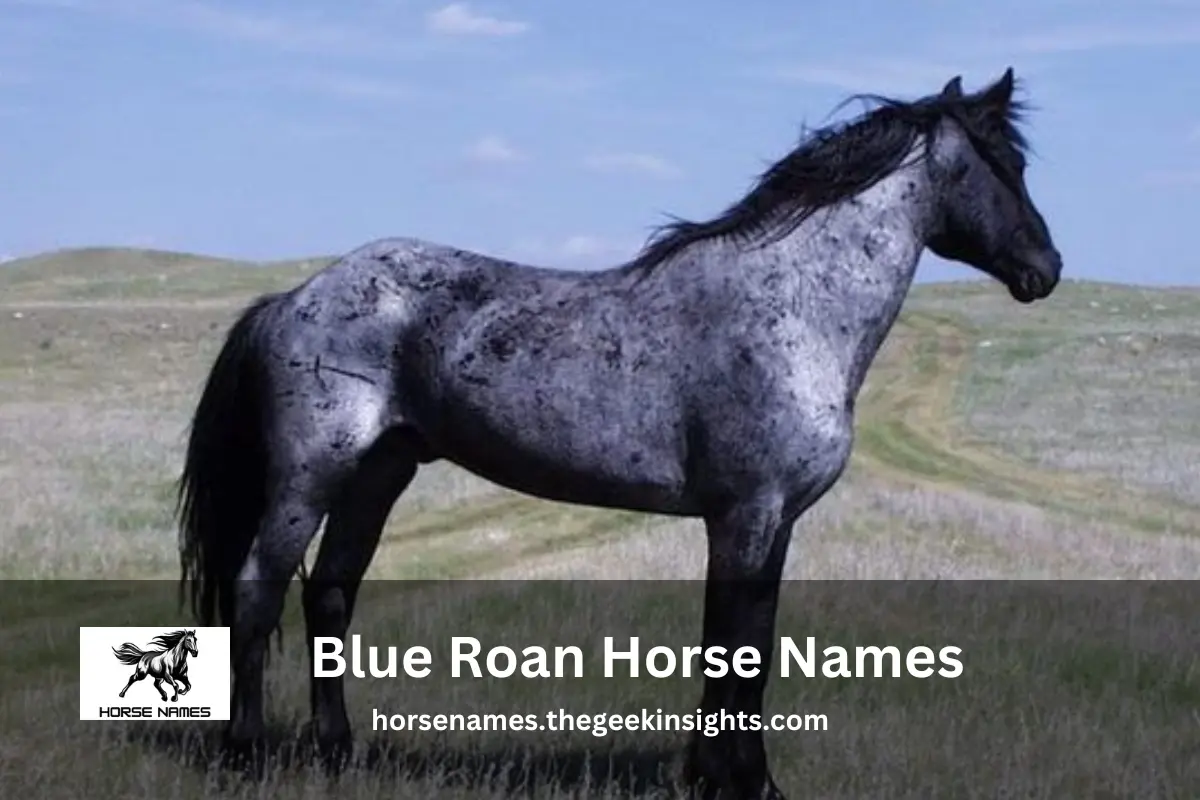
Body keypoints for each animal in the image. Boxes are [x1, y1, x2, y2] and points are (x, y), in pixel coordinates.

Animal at [176, 68, 1061, 798]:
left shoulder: (772, 523)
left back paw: (339, 752)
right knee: (258, 592)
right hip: (311, 476)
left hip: (379, 473)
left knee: (329, 596)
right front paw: (740, 783)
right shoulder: (746, 514)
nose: (1046, 270)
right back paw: (245, 757)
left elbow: (747, 644)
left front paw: (722, 777)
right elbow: (734, 643)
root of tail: (295, 298)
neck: (794, 305)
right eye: (1003, 165)